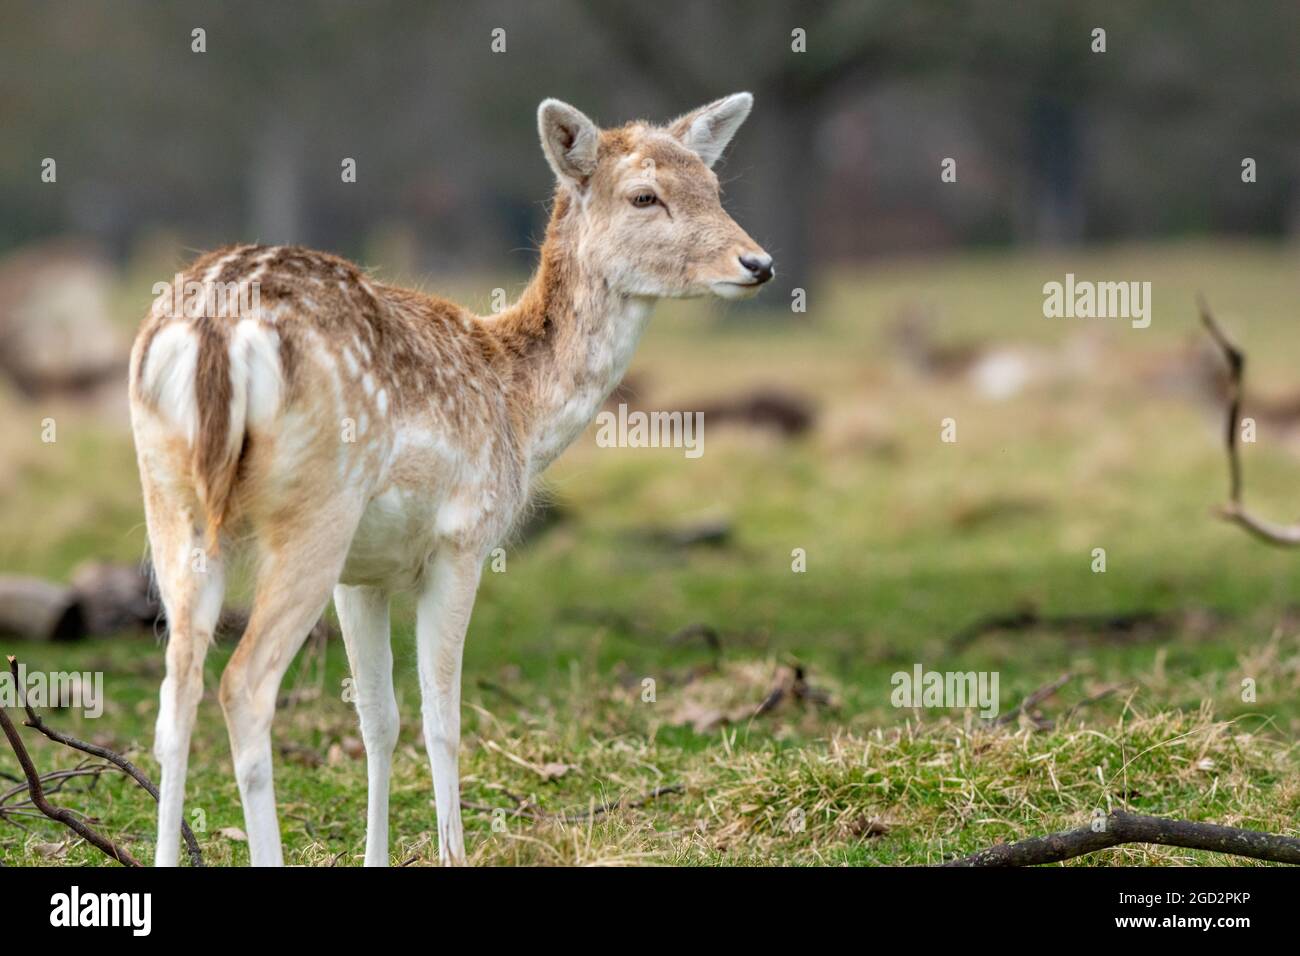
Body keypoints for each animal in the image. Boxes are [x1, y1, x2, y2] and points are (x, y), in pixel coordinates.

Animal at [128, 94, 773, 866]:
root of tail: (214, 330)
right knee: (244, 687)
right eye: (645, 195)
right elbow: (443, 719)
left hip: (172, 502)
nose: (758, 262)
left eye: (713, 186)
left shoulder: (362, 574)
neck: (518, 409)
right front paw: (452, 850)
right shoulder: (463, 539)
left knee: (176, 690)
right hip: (316, 510)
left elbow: (379, 719)